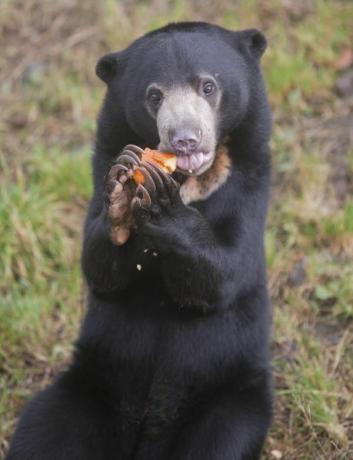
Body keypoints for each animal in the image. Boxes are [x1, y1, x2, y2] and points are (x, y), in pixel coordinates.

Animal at [6, 21, 274, 460]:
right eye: (154, 95)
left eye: (208, 86)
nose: (185, 139)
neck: (191, 180)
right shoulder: (103, 155)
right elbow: (100, 269)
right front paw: (123, 190)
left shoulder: (248, 180)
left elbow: (224, 274)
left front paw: (161, 201)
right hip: (89, 387)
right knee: (43, 432)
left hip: (231, 395)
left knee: (220, 441)